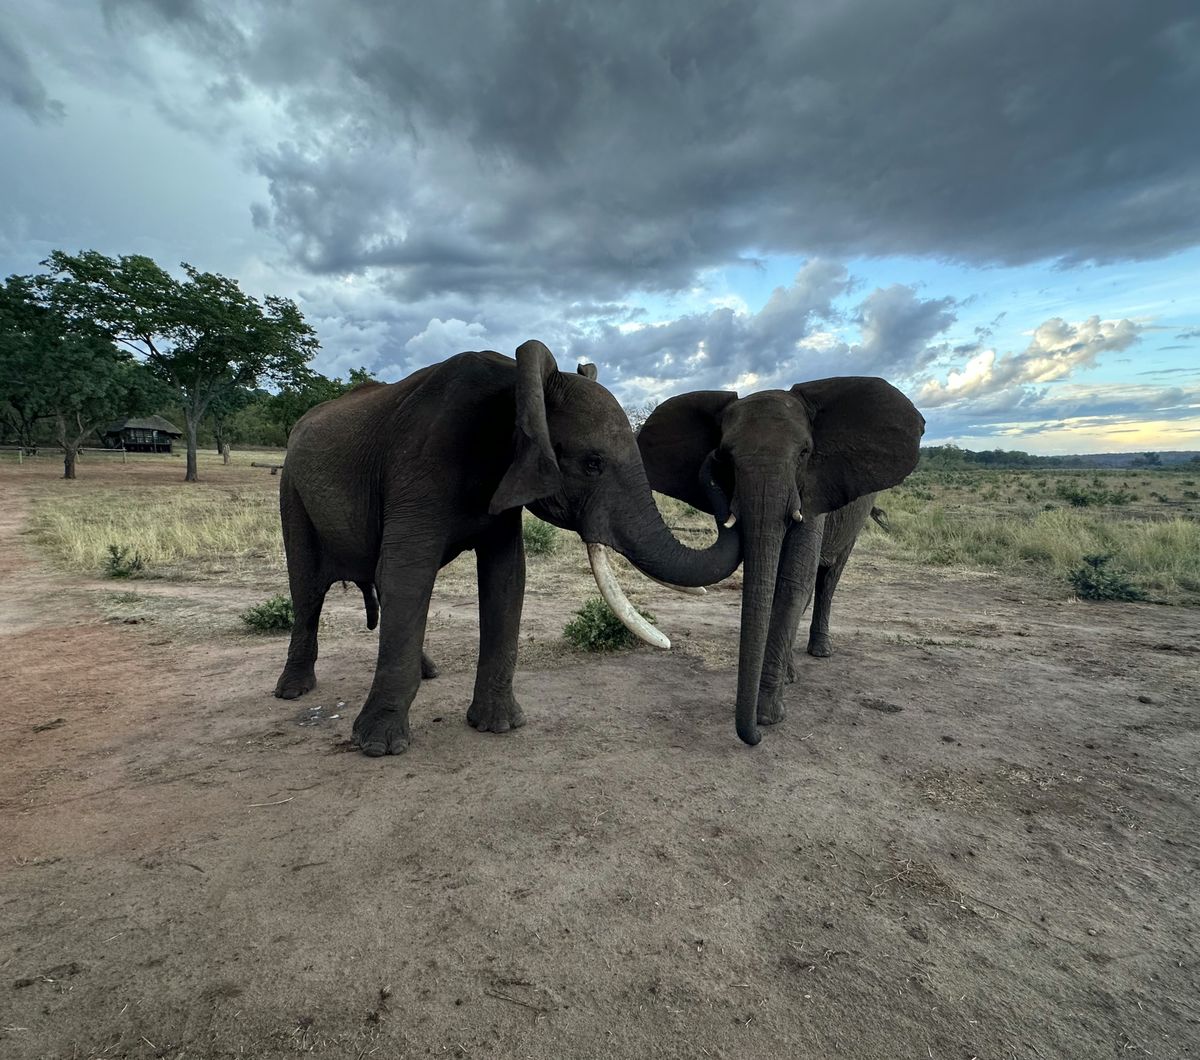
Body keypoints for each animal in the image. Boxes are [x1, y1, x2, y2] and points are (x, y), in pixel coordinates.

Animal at [274, 340, 741, 756]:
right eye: (592, 464)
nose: (718, 458)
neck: (515, 386)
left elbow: (506, 577)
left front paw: (499, 726)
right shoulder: (419, 467)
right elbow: (407, 575)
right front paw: (378, 747)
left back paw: (428, 671)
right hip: (291, 489)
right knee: (308, 588)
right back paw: (293, 691)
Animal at [637, 378, 924, 746]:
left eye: (804, 453)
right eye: (726, 456)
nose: (755, 736)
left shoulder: (814, 489)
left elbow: (792, 583)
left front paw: (767, 717)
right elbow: (770, 584)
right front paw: (774, 699)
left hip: (855, 519)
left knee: (829, 578)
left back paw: (820, 651)